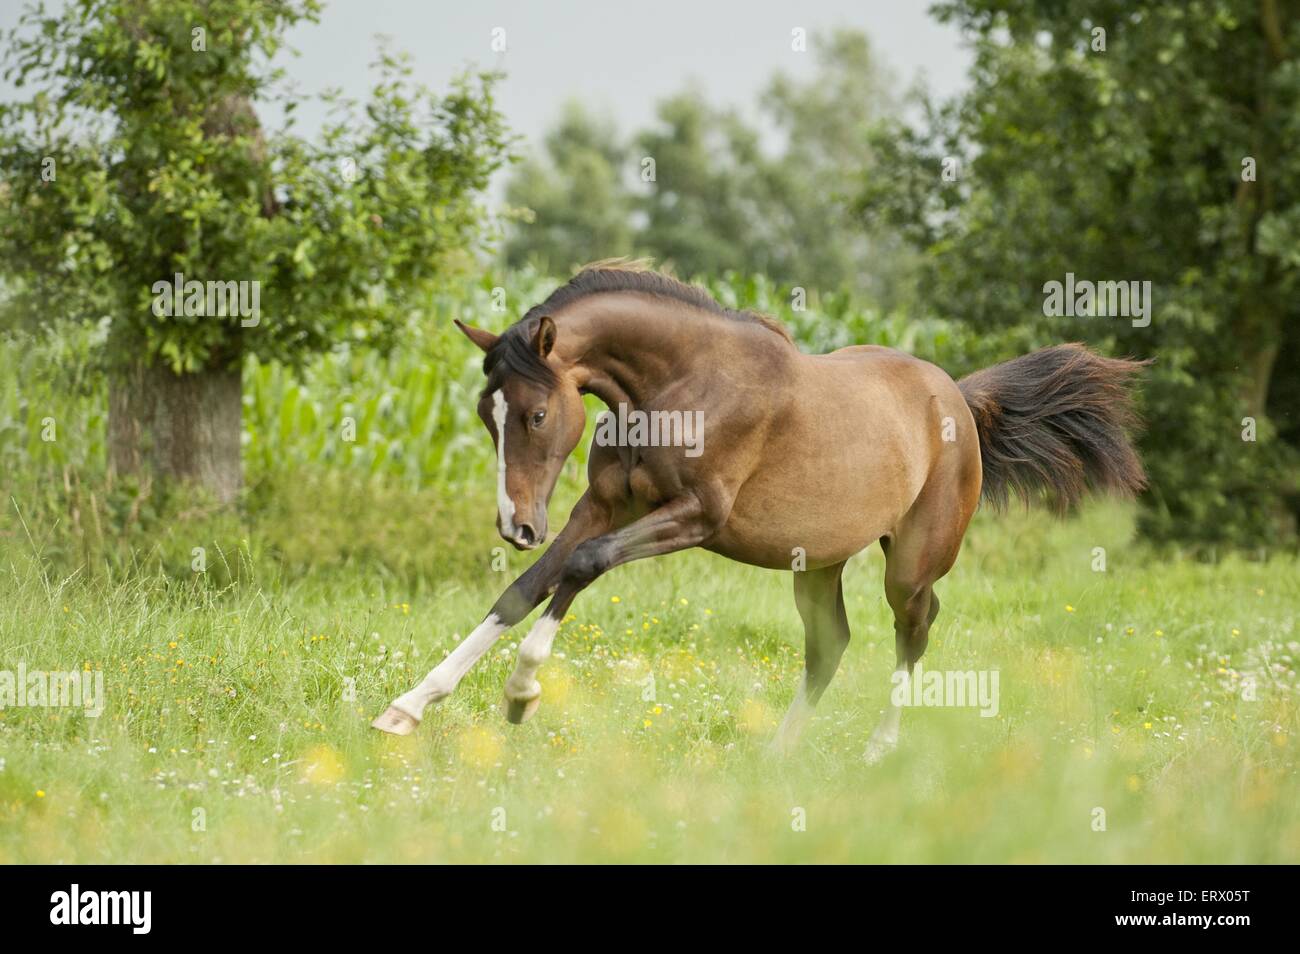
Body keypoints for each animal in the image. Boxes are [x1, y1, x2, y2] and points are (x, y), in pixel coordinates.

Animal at [373, 264, 1146, 760]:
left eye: (535, 413)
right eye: (486, 415)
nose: (518, 526)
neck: (681, 386)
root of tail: (956, 394)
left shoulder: (696, 517)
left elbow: (582, 569)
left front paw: (522, 693)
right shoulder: (603, 505)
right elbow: (524, 590)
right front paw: (406, 709)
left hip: (911, 561)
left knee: (916, 627)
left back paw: (877, 748)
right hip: (818, 563)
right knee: (830, 644)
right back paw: (777, 752)